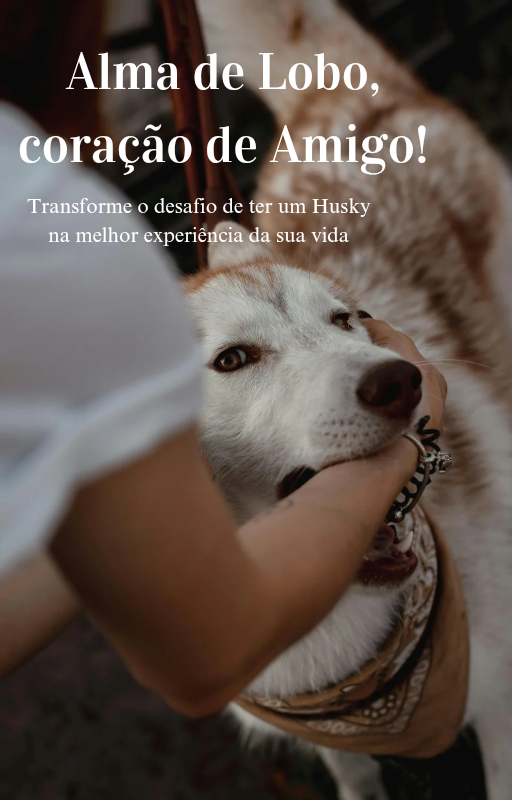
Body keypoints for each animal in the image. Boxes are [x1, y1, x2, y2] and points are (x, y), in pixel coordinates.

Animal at [183, 1, 512, 798]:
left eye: (345, 319)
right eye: (234, 359)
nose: (403, 380)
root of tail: (339, 97)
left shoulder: (501, 706)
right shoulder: (335, 746)